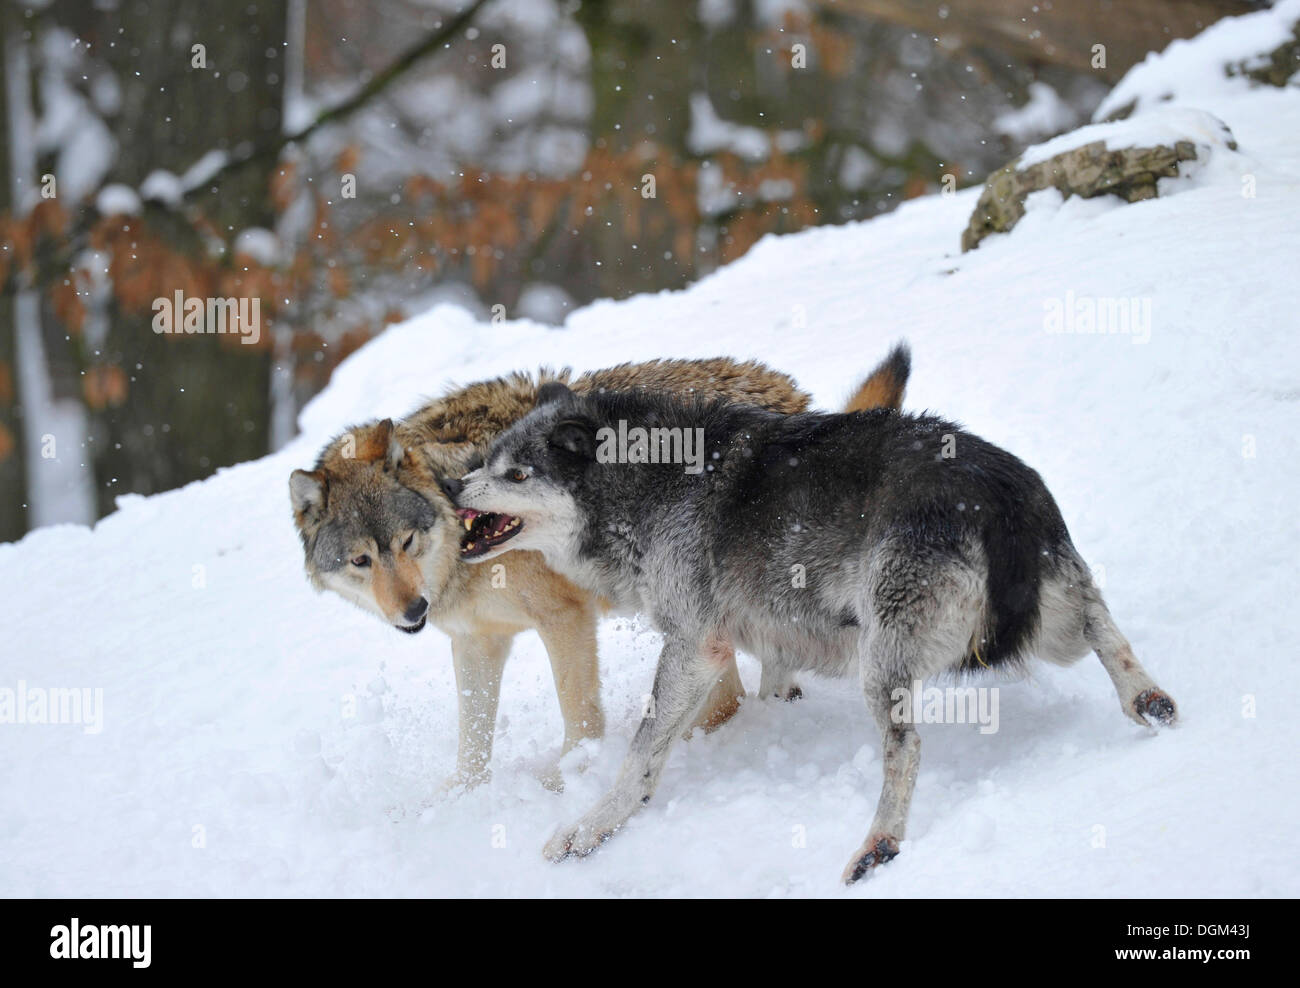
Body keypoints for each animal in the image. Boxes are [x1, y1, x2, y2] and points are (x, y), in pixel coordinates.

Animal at [289, 351, 909, 792]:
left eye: (406, 542)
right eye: (361, 561)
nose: (413, 610)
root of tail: (791, 393)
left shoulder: (564, 619)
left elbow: (580, 716)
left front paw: (569, 777)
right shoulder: (475, 643)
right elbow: (472, 740)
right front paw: (454, 799)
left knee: (729, 698)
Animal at [453, 343, 1178, 882]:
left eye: (516, 474)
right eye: (488, 460)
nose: (453, 485)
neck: (651, 487)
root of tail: (1000, 492)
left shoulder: (694, 646)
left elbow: (639, 756)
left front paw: (590, 829)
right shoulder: (759, 636)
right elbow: (758, 693)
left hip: (885, 660)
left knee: (907, 748)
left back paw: (879, 847)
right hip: (1045, 627)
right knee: (1107, 631)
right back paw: (1150, 702)